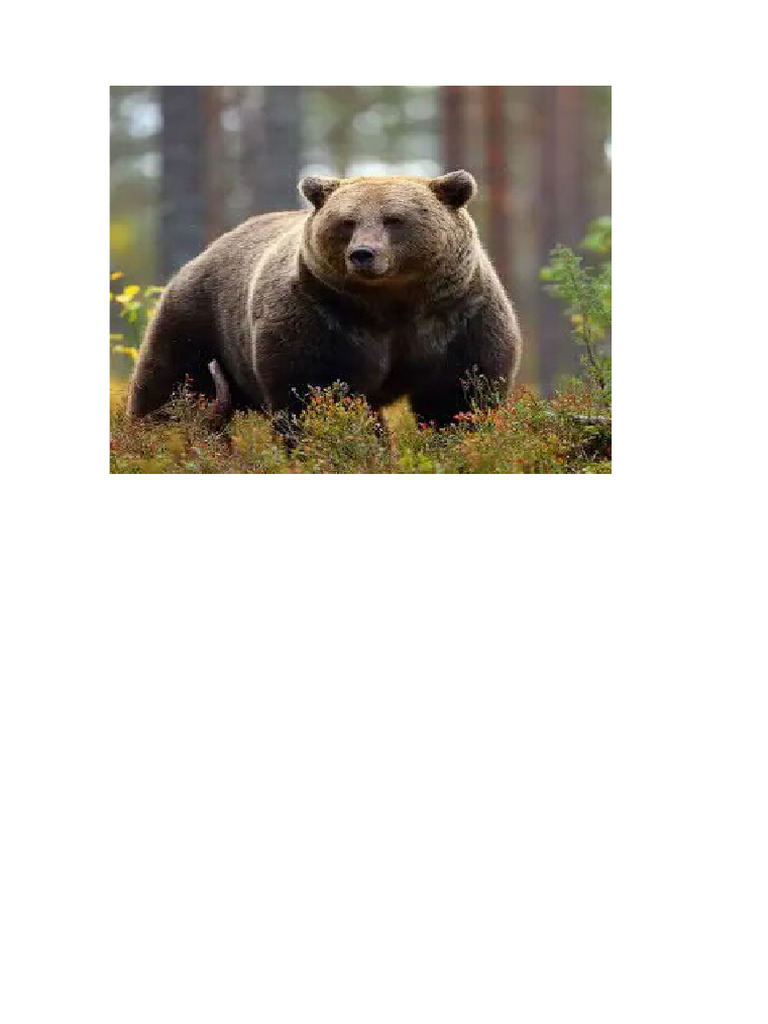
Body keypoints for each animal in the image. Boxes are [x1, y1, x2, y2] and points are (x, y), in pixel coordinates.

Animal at [127, 170, 522, 427]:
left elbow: (458, 395)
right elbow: (315, 393)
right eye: (347, 221)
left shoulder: (458, 316)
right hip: (200, 321)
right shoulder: (323, 318)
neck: (393, 304)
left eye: (394, 219)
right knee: (171, 387)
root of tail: (207, 250)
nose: (362, 254)